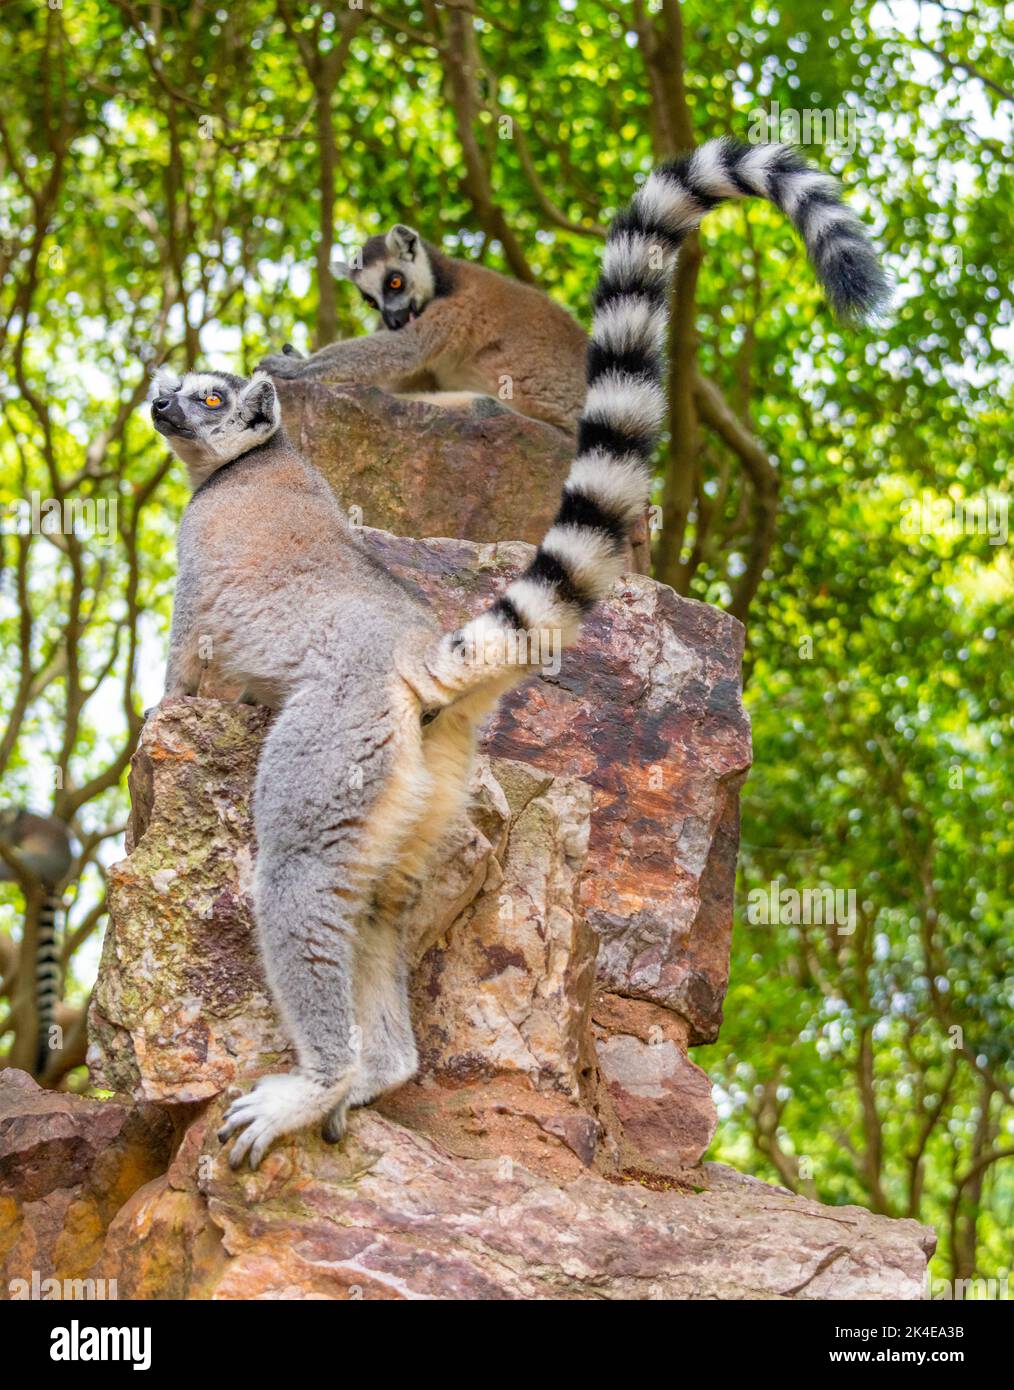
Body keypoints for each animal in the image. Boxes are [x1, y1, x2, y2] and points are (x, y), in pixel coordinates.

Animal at [151, 140, 886, 1169]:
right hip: (422, 796)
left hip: (335, 742)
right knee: (372, 905)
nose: (158, 402)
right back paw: (377, 1072)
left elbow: (183, 658)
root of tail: (416, 652)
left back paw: (321, 1080)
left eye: (208, 397)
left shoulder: (202, 567)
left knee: (296, 873)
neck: (251, 463)